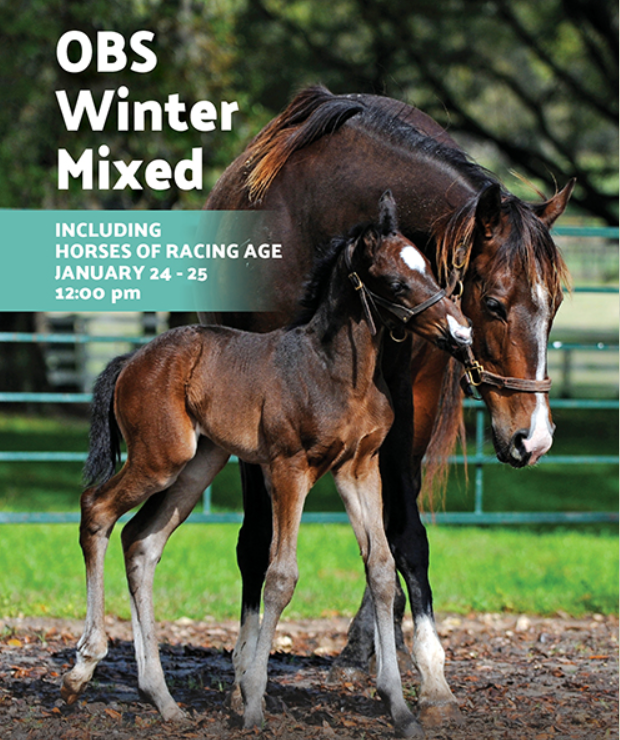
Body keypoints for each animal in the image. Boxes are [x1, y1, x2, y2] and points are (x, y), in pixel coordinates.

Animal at [61, 192, 473, 737]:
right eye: (394, 281)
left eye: (428, 267)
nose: (462, 332)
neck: (339, 371)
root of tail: (131, 360)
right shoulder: (288, 469)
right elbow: (280, 576)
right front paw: (253, 703)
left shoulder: (358, 469)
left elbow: (381, 570)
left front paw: (401, 708)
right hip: (160, 458)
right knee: (97, 510)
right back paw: (83, 667)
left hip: (198, 463)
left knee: (142, 540)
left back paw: (163, 700)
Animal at [199, 86, 575, 725]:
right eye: (495, 304)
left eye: (554, 307)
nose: (536, 437)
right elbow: (259, 543)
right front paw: (246, 679)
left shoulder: (403, 412)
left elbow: (405, 539)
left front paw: (429, 675)